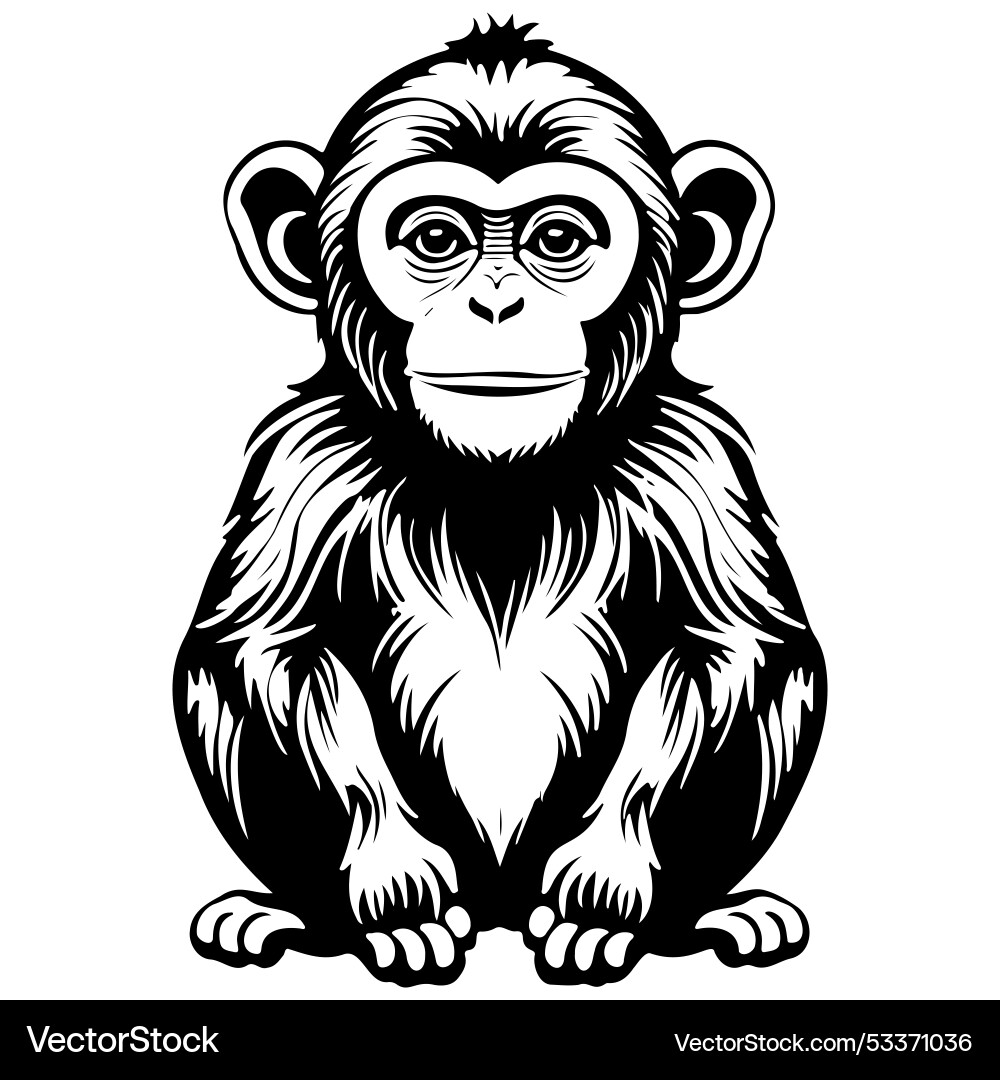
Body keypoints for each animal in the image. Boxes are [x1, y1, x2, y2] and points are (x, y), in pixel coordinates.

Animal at [174, 18, 826, 986]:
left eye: (558, 238)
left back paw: (709, 915)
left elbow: (737, 649)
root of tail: (499, 913)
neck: (499, 481)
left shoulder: (695, 463)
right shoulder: (303, 463)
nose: (495, 303)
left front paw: (605, 879)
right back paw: (289, 915)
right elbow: (261, 650)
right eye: (434, 239)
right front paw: (394, 877)